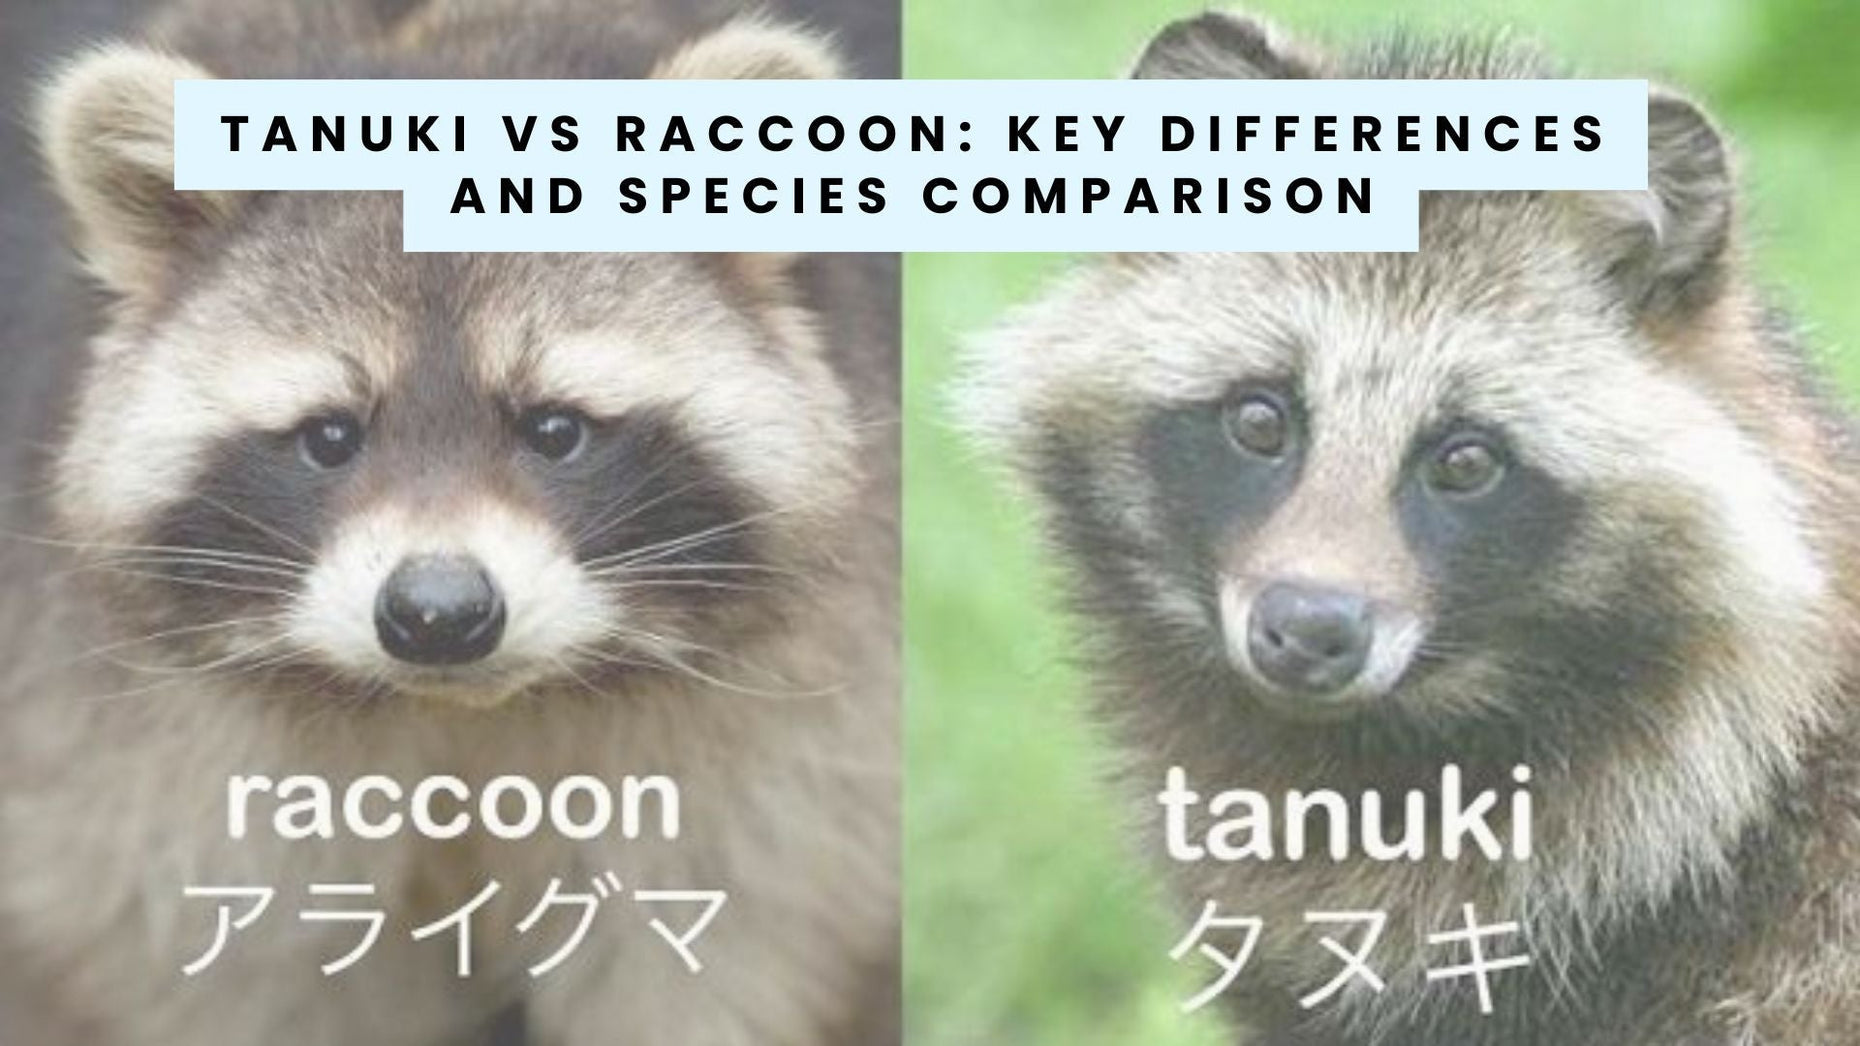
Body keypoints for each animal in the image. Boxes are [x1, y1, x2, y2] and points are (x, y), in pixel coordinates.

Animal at [0, 3, 898, 1045]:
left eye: (554, 429)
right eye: (330, 437)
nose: (438, 614)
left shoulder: (783, 747)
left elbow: (715, 948)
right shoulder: (124, 760)